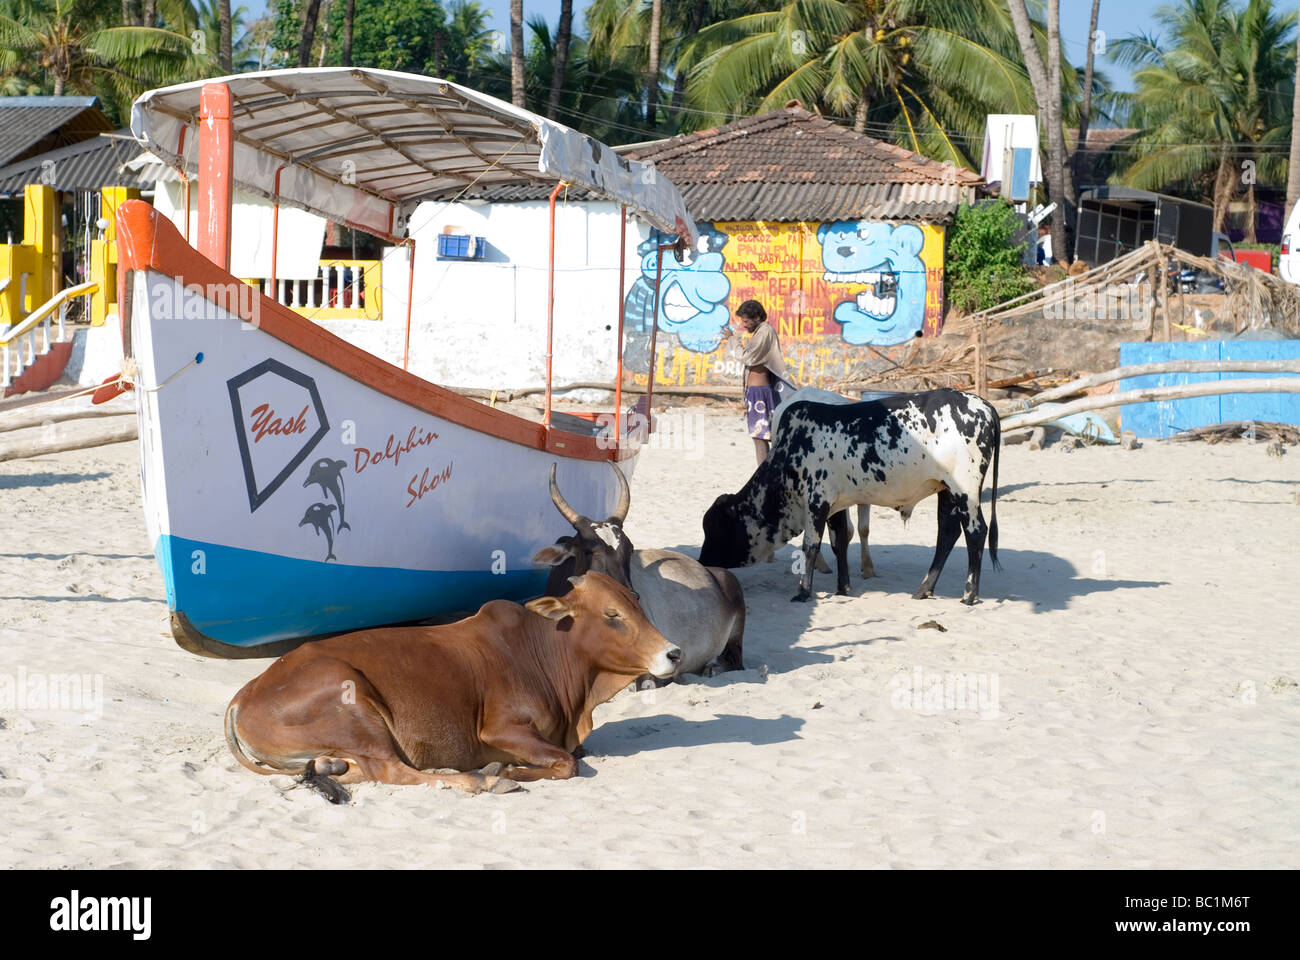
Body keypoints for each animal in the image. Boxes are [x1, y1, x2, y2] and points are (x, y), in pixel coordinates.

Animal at [224, 572, 681, 801]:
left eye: (637, 603)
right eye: (612, 615)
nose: (674, 653)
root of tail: (245, 694)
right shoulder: (500, 730)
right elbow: (567, 764)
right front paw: (504, 770)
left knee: (353, 771)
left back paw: (329, 769)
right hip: (355, 705)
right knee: (391, 770)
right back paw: (482, 780)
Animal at [699, 388, 1000, 604]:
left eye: (717, 530)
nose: (702, 562)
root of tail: (985, 406)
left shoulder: (816, 501)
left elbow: (810, 546)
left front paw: (803, 591)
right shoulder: (835, 505)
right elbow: (839, 542)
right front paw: (842, 587)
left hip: (965, 490)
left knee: (975, 532)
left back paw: (969, 594)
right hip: (946, 491)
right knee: (947, 534)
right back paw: (924, 588)